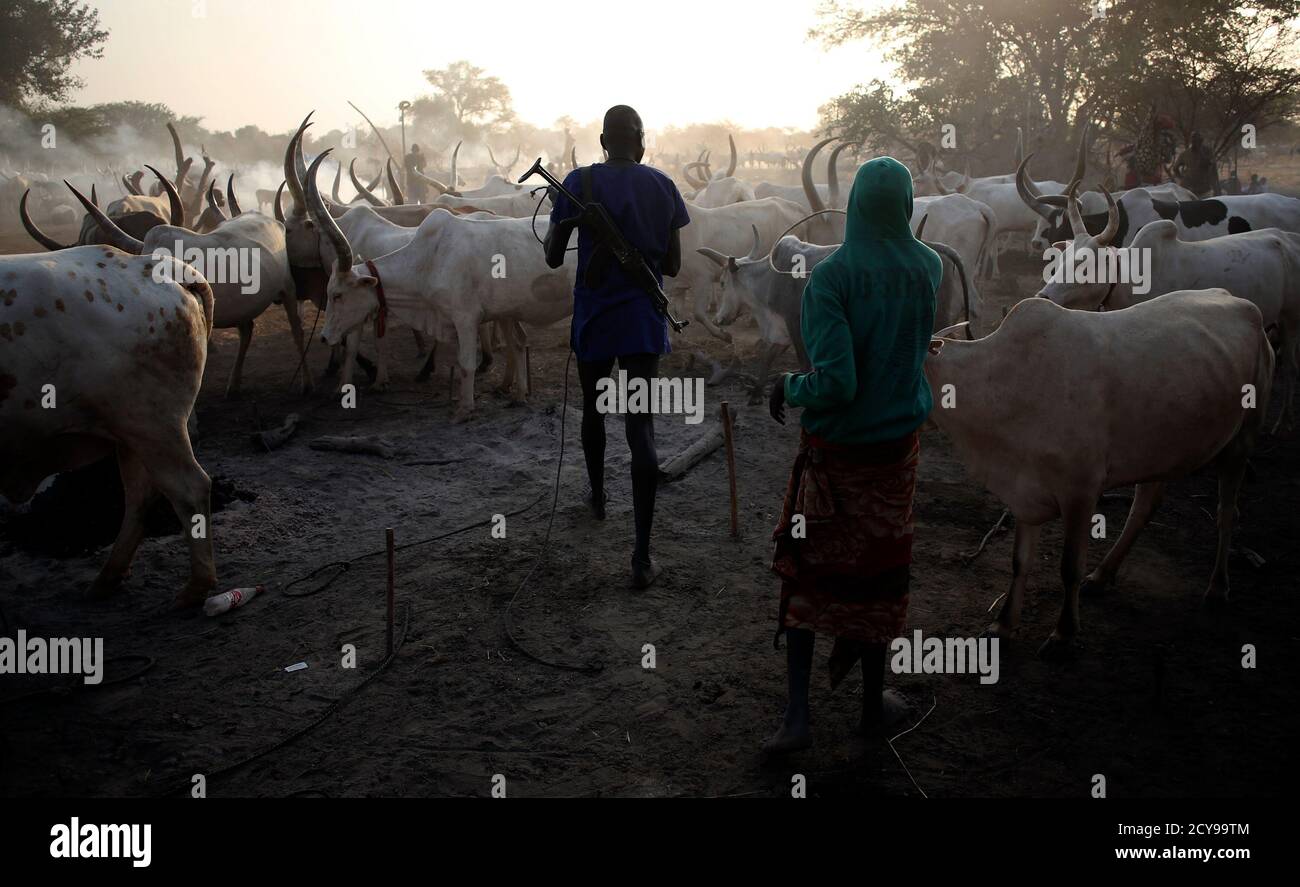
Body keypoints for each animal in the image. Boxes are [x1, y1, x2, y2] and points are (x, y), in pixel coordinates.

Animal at [0, 246, 217, 607]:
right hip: (131, 435)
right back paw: (108, 578)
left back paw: (196, 587)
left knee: (190, 489)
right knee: (140, 498)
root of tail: (153, 265)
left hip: (154, 426)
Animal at [925, 290, 1273, 656]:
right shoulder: (1025, 490)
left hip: (1242, 440)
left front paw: (1064, 633)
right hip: (1161, 446)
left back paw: (1218, 588)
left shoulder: (1080, 491)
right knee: (1144, 507)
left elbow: (1069, 567)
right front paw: (1003, 625)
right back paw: (1103, 575)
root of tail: (1240, 302)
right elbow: (1020, 562)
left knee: (1226, 513)